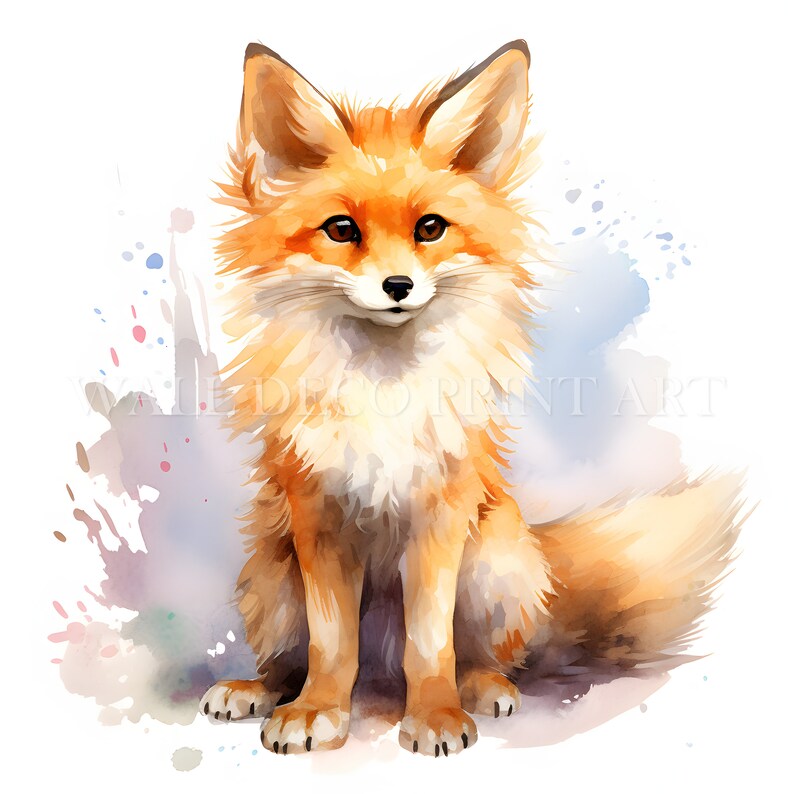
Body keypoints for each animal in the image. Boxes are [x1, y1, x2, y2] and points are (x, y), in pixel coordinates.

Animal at [200, 40, 743, 756]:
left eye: (430, 227)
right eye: (341, 229)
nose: (398, 285)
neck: (385, 391)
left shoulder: (441, 514)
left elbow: (431, 646)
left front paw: (433, 715)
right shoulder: (319, 515)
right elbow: (331, 645)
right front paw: (318, 710)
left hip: (497, 562)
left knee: (481, 655)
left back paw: (483, 688)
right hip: (270, 577)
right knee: (290, 660)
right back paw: (257, 690)